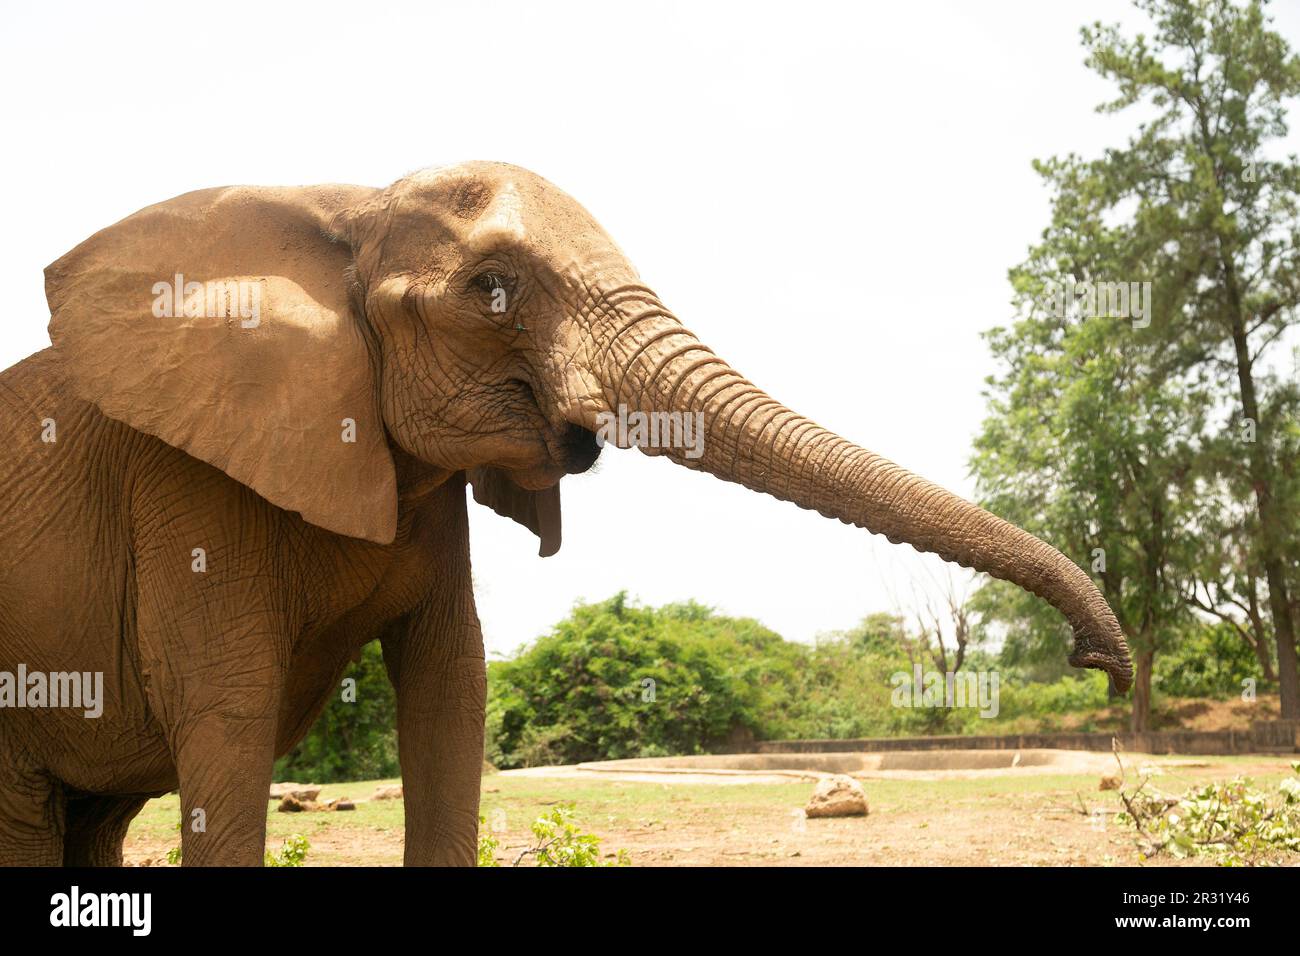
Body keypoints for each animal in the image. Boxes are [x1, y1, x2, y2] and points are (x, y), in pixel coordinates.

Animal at [0, 161, 1133, 866]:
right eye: (494, 289)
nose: (1103, 670)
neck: (343, 211)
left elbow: (450, 685)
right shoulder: (186, 487)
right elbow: (230, 711)